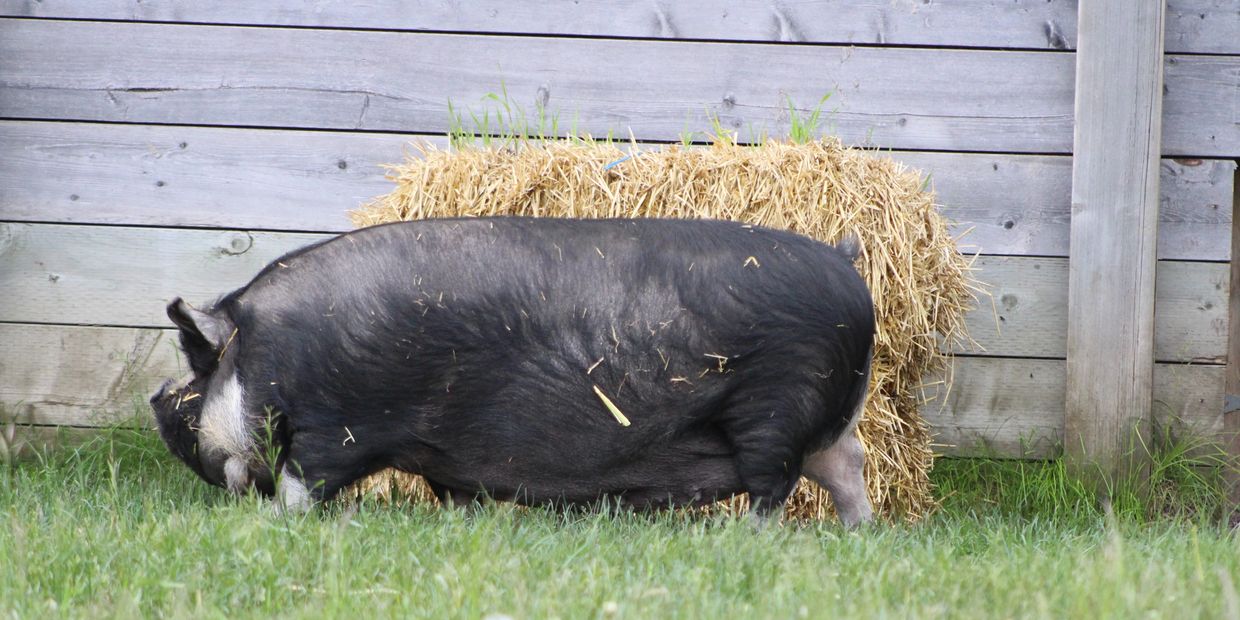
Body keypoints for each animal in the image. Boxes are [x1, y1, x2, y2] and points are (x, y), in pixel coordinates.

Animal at [150, 217, 875, 526]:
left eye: (195, 375)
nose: (157, 399)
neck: (270, 354)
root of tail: (845, 265)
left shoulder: (336, 426)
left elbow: (305, 483)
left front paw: (279, 524)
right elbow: (451, 490)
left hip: (775, 404)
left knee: (774, 485)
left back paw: (745, 537)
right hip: (820, 416)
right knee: (848, 464)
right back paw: (860, 533)